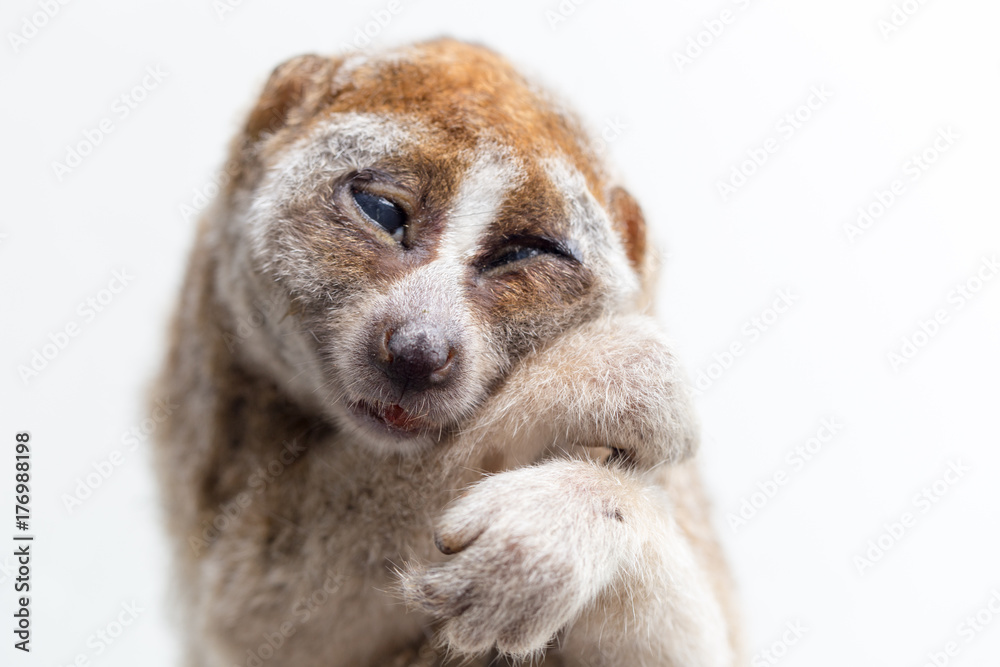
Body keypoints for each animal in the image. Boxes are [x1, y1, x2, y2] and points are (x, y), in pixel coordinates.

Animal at [152, 38, 742, 667]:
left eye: (522, 255)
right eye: (381, 211)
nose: (419, 349)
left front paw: (567, 520)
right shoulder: (206, 348)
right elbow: (250, 619)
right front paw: (598, 376)